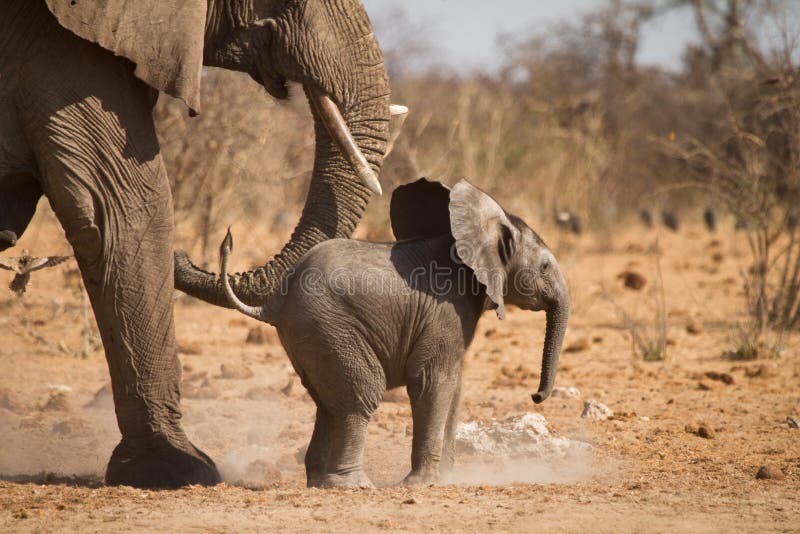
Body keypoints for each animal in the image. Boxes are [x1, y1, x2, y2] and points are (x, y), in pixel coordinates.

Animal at [210, 178, 570, 488]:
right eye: (544, 267)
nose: (536, 396)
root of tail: (277, 301)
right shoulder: (444, 310)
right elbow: (431, 381)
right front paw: (422, 484)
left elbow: (455, 386)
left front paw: (444, 479)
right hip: (332, 328)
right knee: (362, 395)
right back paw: (353, 485)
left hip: (311, 337)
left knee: (328, 403)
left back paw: (320, 483)